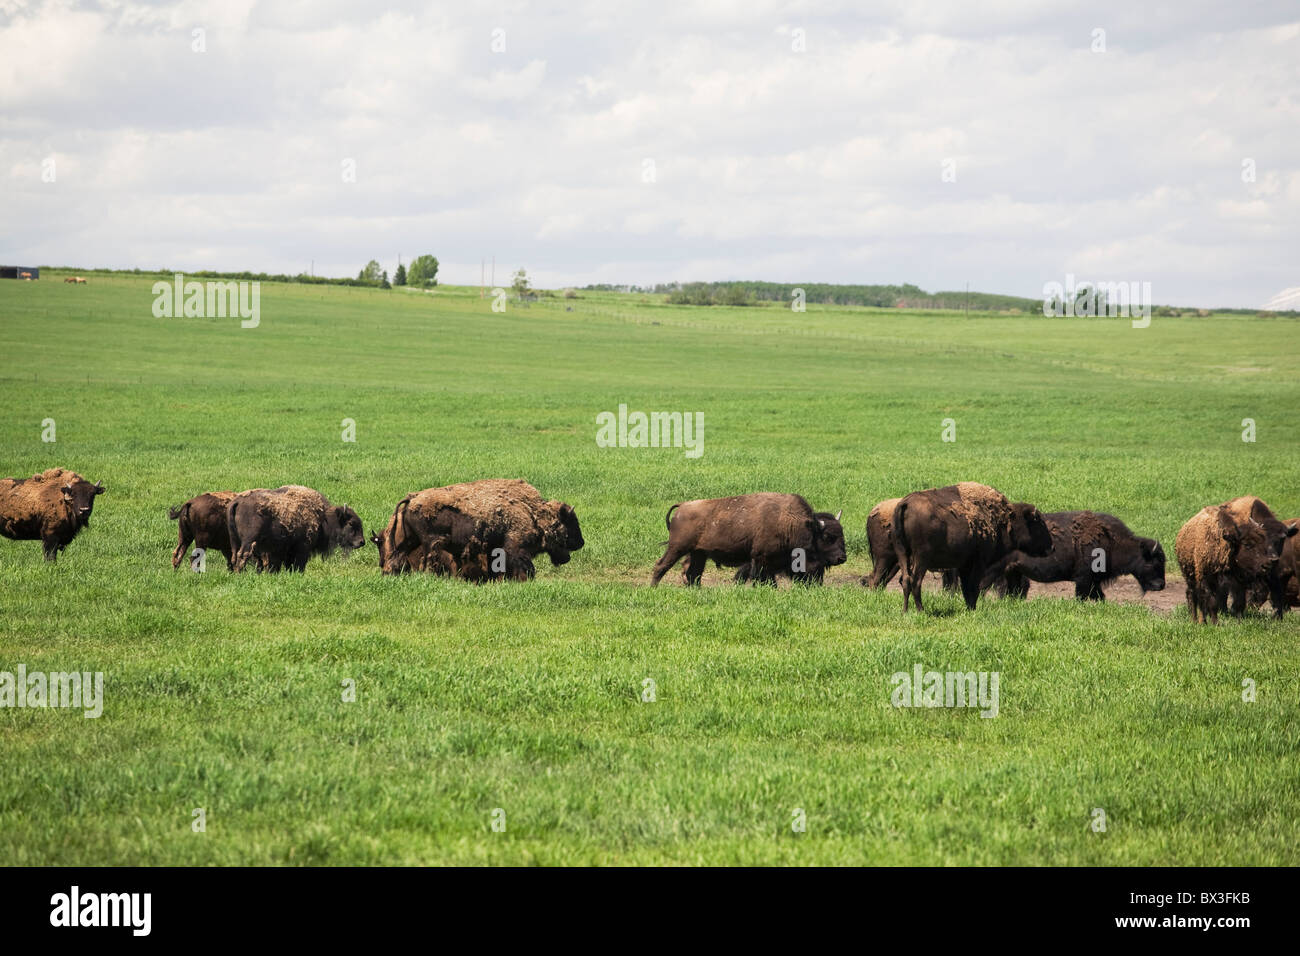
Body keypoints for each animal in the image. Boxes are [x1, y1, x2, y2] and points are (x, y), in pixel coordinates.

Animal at [227, 485, 364, 573]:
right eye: (351, 523)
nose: (362, 542)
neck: (323, 517)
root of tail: (238, 501)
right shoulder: (302, 547)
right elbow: (298, 564)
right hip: (248, 541)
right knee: (243, 555)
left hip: (235, 539)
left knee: (234, 555)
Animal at [650, 493, 846, 587]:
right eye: (828, 537)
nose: (842, 558)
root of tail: (682, 506)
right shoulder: (761, 560)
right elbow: (764, 579)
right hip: (677, 548)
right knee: (661, 566)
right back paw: (653, 588)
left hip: (699, 553)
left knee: (693, 574)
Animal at [893, 482, 1052, 612]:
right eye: (1038, 521)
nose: (1051, 547)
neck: (1006, 519)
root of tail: (905, 504)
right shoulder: (978, 563)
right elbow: (973, 586)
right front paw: (973, 608)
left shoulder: (964, 565)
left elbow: (966, 588)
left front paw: (970, 607)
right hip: (921, 558)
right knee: (915, 581)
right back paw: (921, 610)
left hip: (903, 554)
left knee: (905, 580)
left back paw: (905, 611)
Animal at [978, 510, 1166, 600]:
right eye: (1151, 562)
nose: (1160, 585)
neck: (1112, 541)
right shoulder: (1084, 579)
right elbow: (1082, 596)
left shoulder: (1094, 582)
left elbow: (1100, 597)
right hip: (994, 571)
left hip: (1013, 572)